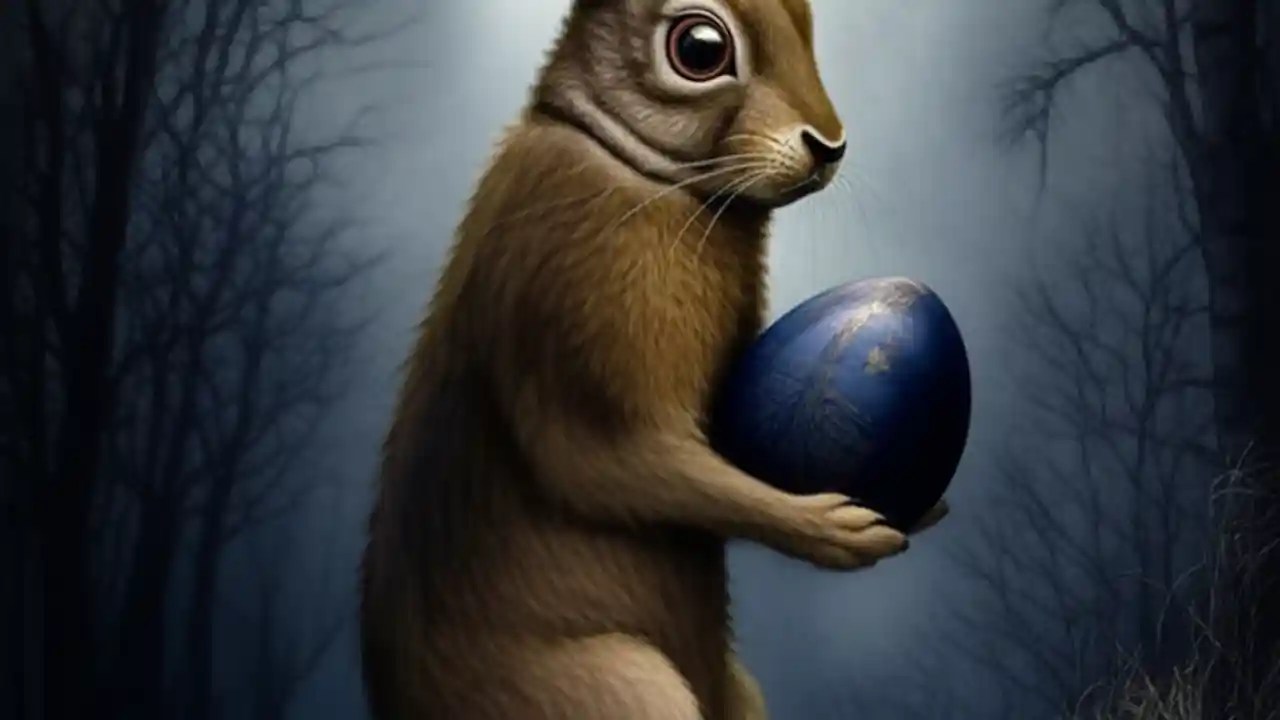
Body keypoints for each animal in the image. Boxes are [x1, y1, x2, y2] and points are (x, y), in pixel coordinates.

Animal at [360, 1, 948, 718]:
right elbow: (625, 467)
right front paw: (836, 528)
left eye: (808, 21)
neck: (637, 166)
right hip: (619, 687)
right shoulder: (586, 355)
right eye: (699, 49)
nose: (830, 144)